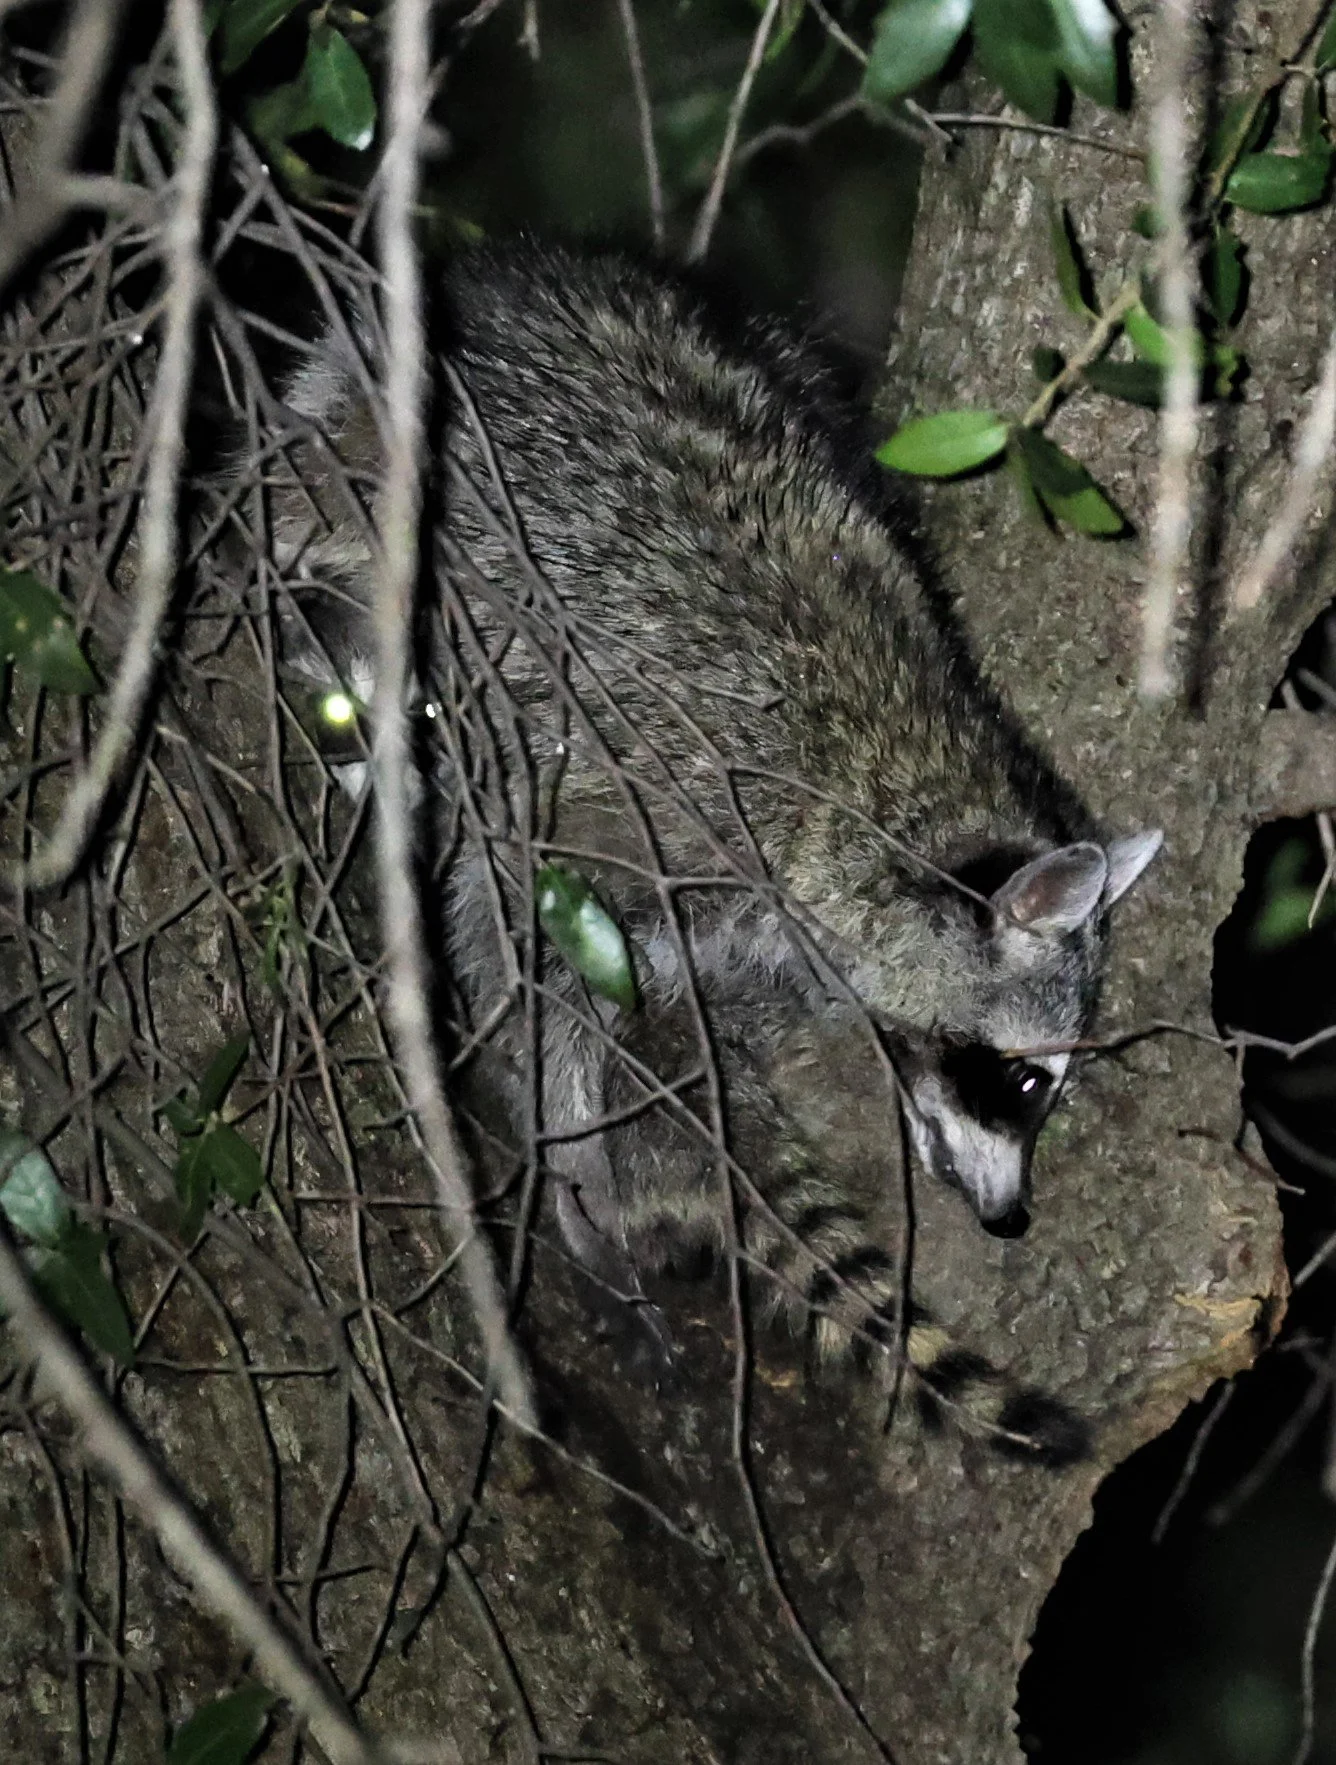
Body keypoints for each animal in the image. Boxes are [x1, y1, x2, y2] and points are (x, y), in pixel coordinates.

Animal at [269, 243, 1159, 1462]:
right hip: (371, 449)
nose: (1007, 1217)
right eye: (1022, 1076)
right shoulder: (651, 800)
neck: (899, 790)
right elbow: (522, 947)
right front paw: (572, 1157)